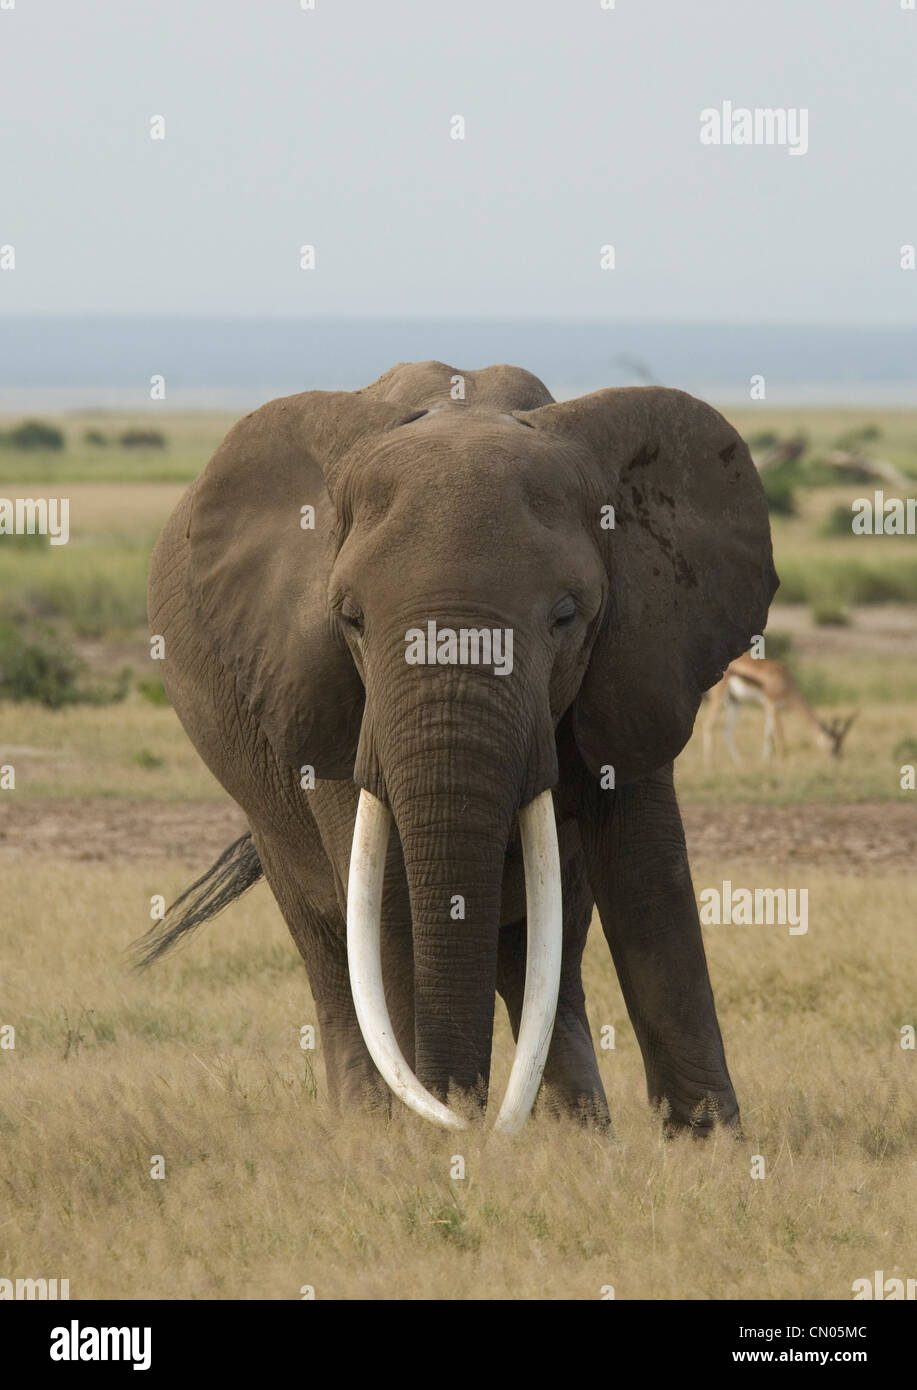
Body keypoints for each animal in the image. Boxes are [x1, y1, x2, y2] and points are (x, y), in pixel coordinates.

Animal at [140, 360, 778, 1136]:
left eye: (567, 616)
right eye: (351, 620)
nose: (466, 1115)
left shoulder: (646, 655)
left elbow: (648, 876)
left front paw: (708, 1145)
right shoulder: (318, 684)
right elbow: (384, 897)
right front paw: (419, 1139)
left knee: (548, 941)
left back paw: (577, 1134)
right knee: (326, 939)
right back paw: (371, 1123)